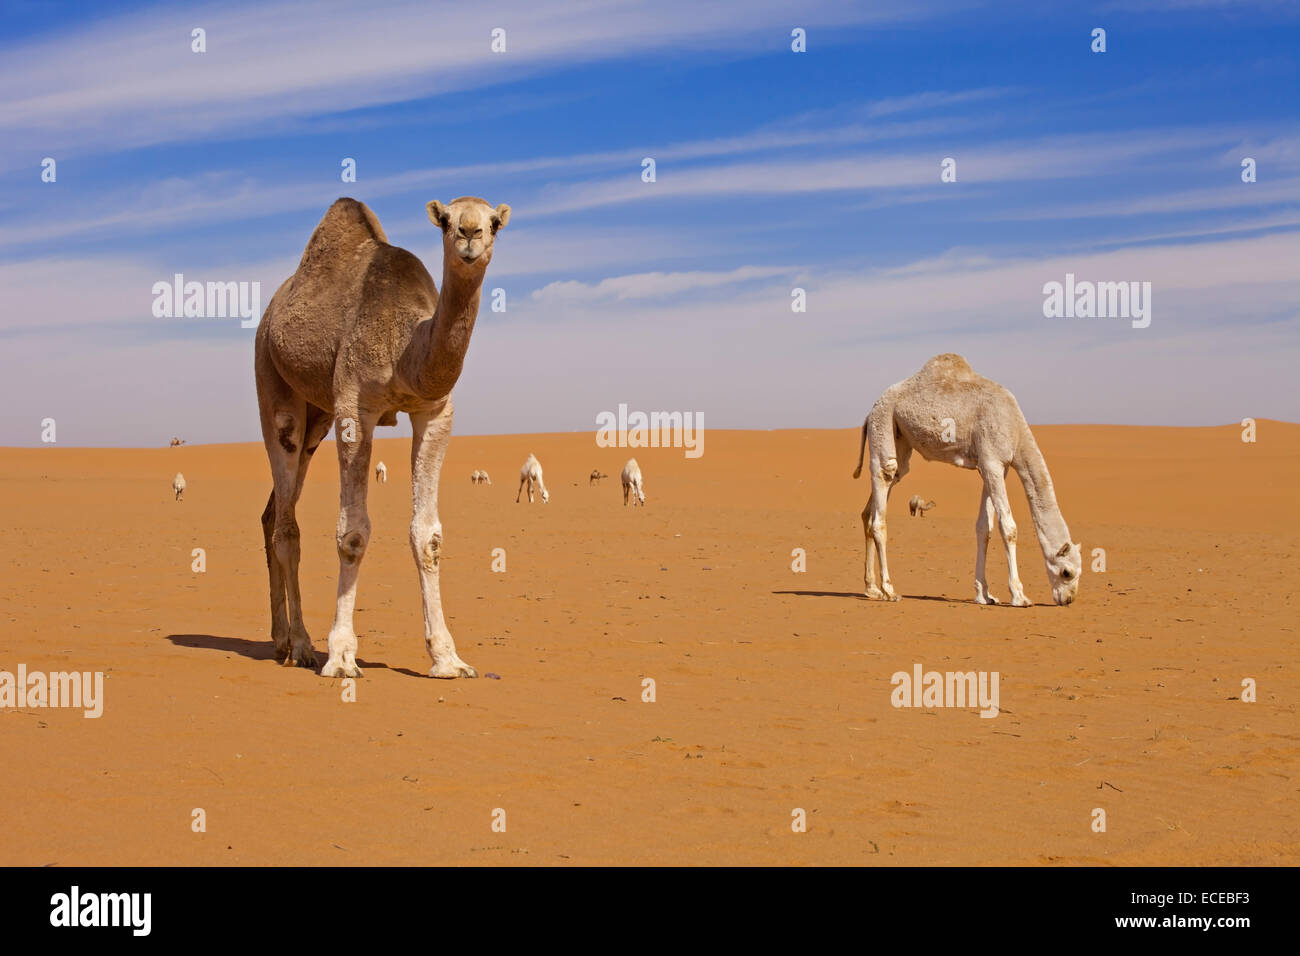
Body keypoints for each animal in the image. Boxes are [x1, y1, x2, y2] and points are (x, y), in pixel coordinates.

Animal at [255, 195, 509, 679]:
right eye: (445, 220)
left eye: (495, 222)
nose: (469, 234)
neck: (405, 347)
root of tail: (270, 315)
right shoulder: (355, 407)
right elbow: (353, 533)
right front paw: (340, 655)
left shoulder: (434, 412)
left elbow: (427, 536)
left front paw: (448, 658)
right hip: (273, 384)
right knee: (286, 522)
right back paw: (302, 645)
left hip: (318, 415)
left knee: (272, 512)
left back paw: (279, 640)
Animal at [852, 354, 1081, 606]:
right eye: (1067, 572)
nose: (1068, 599)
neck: (1015, 430)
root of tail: (869, 413)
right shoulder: (992, 461)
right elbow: (1008, 527)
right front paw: (1019, 596)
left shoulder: (992, 466)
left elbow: (984, 528)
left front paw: (985, 595)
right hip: (883, 422)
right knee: (882, 489)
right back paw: (889, 590)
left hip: (899, 438)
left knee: (876, 501)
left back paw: (871, 589)